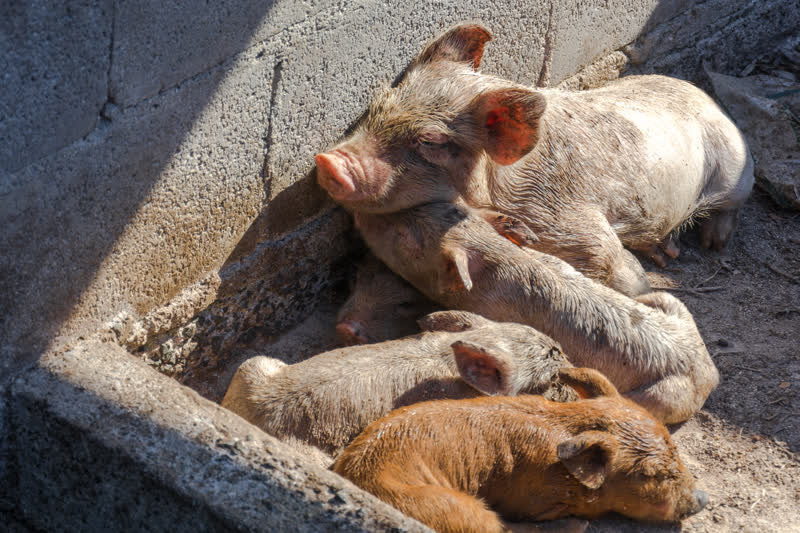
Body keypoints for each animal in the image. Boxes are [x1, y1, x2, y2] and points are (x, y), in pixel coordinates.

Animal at [316, 24, 754, 296]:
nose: (328, 161)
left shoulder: (576, 222)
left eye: (430, 140)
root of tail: (705, 95)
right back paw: (667, 251)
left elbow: (619, 269)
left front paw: (642, 283)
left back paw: (712, 243)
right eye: (378, 108)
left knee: (733, 204)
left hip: (738, 167)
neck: (503, 191)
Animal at [333, 367, 709, 532]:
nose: (703, 497)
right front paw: (579, 523)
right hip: (448, 506)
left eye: (675, 450)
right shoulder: (531, 500)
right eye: (651, 474)